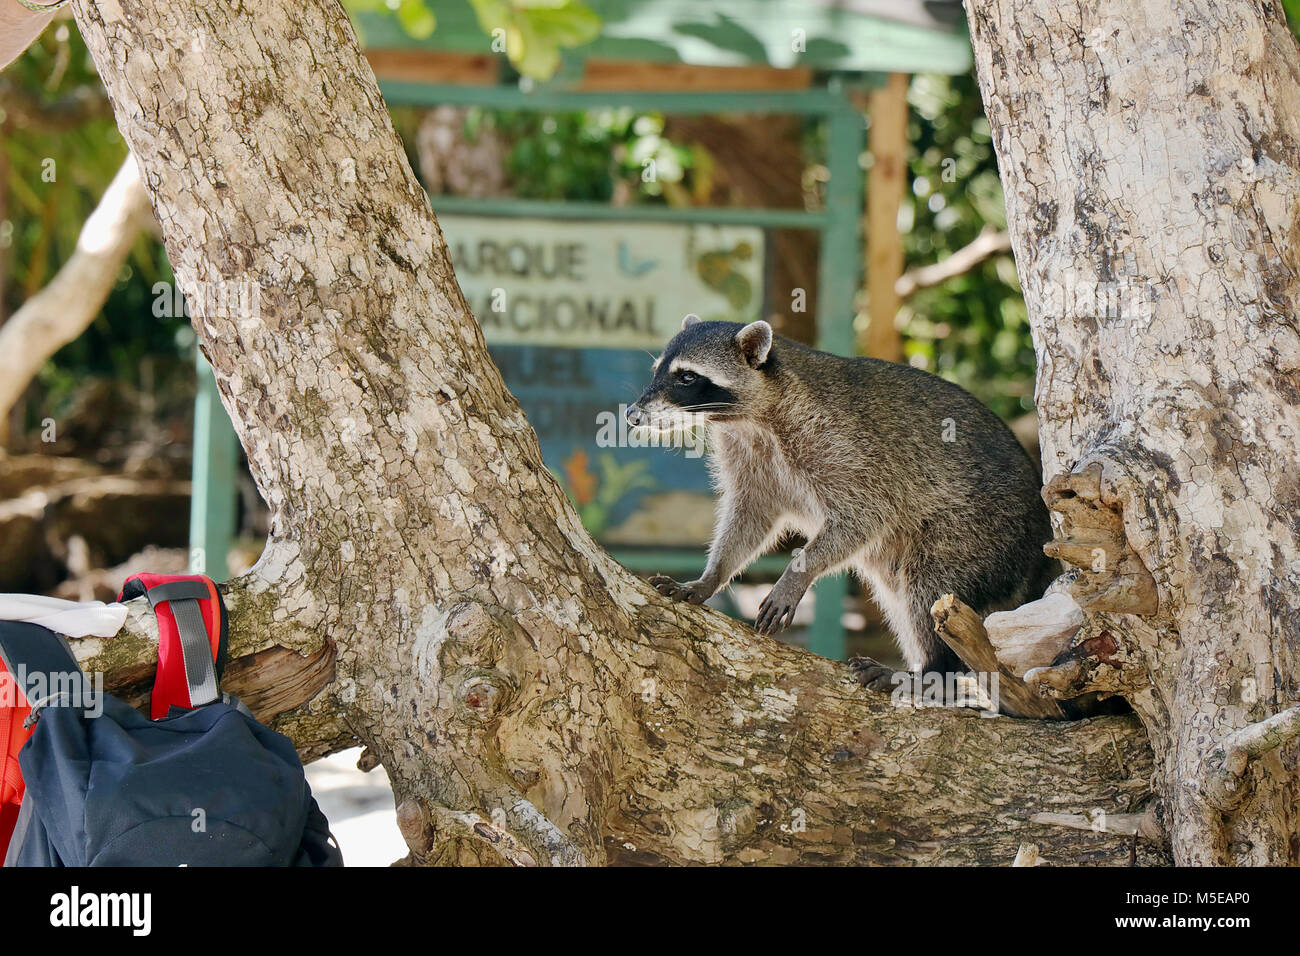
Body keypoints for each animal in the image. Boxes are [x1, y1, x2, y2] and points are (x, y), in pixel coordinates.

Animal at [627, 315, 1058, 688]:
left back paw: (932, 670)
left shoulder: (839, 441)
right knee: (903, 598)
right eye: (656, 372)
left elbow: (866, 515)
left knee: (931, 583)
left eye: (686, 377)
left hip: (978, 528)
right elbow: (749, 517)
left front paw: (798, 570)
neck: (750, 418)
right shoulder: (750, 459)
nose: (631, 414)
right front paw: (711, 576)